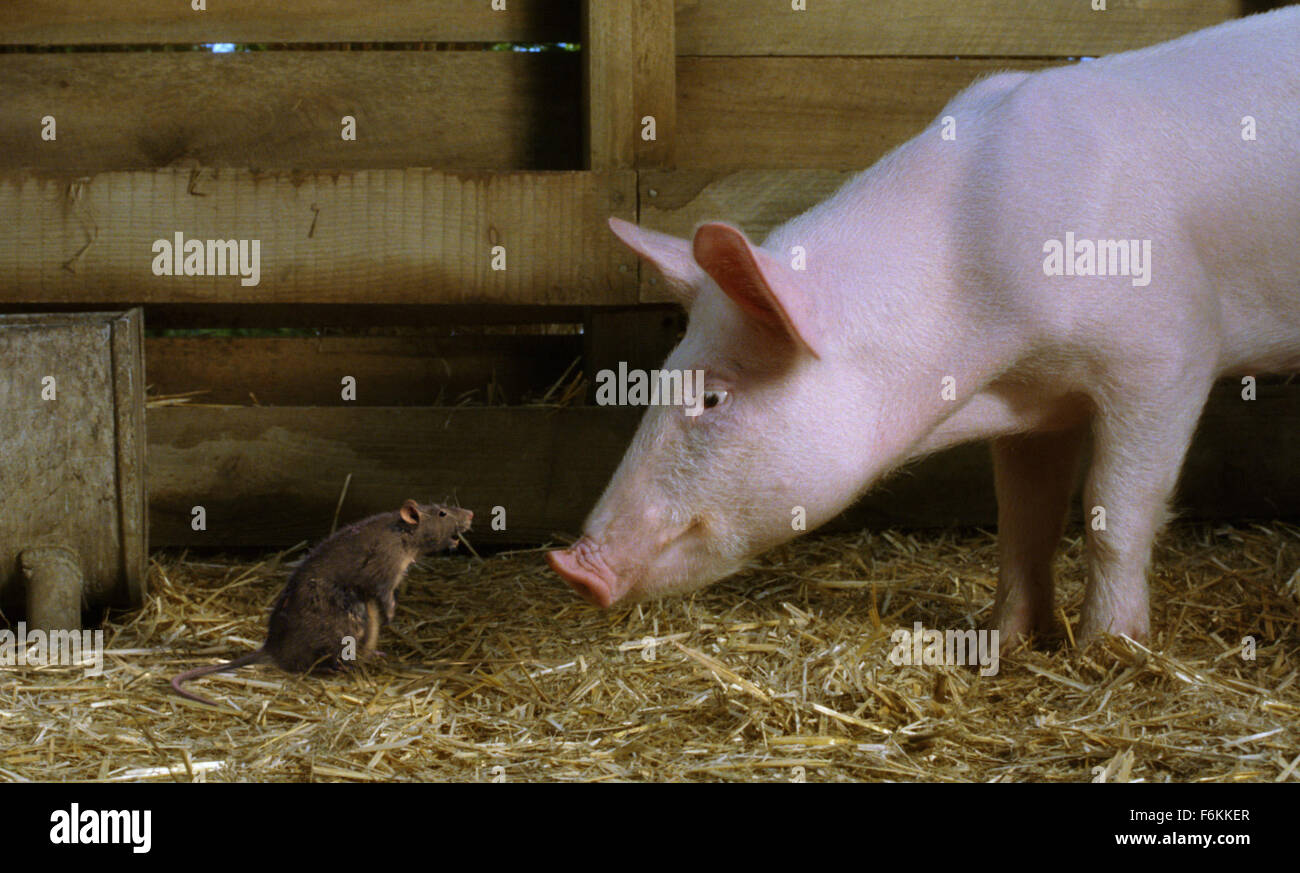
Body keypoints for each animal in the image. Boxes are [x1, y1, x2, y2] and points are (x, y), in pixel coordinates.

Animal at [547, 8, 1300, 646]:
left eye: (711, 396)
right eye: (660, 381)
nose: (570, 563)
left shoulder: (1166, 355)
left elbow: (1115, 511)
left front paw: (1108, 650)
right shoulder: (1040, 402)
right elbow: (1023, 520)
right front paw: (1005, 640)